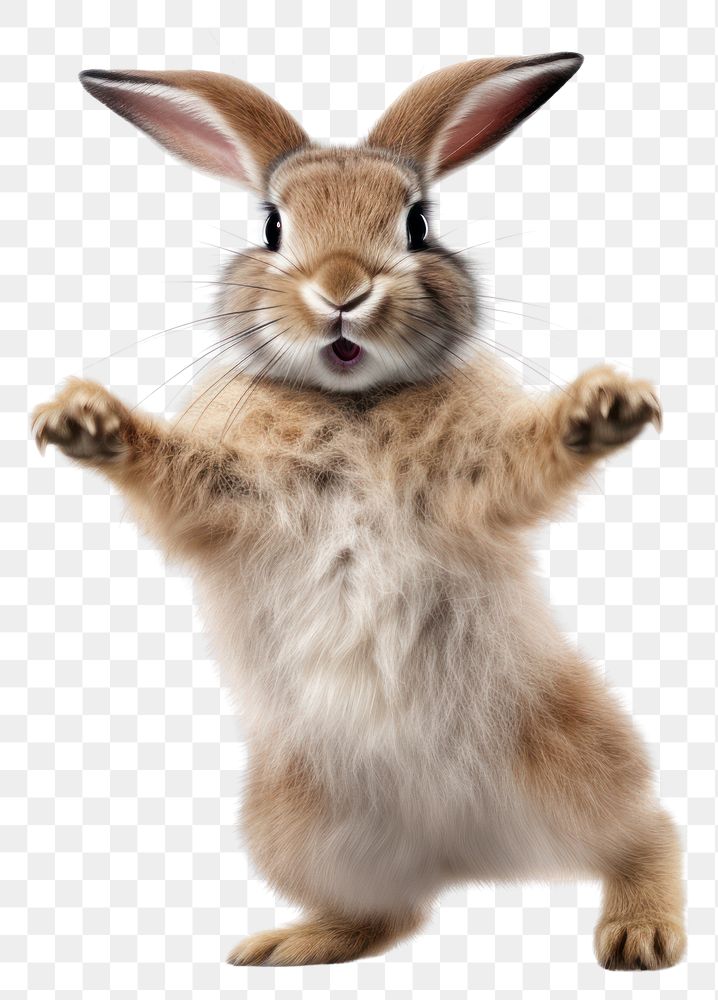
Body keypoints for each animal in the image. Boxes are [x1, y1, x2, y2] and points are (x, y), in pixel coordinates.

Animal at [32, 53, 686, 970]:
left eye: (418, 223)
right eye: (273, 226)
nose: (342, 288)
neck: (351, 406)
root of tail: (468, 854)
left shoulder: (470, 478)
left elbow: (525, 459)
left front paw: (604, 407)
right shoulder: (227, 492)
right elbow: (172, 475)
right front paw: (86, 421)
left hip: (579, 753)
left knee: (647, 834)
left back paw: (640, 933)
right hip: (306, 823)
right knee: (390, 914)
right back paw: (290, 945)